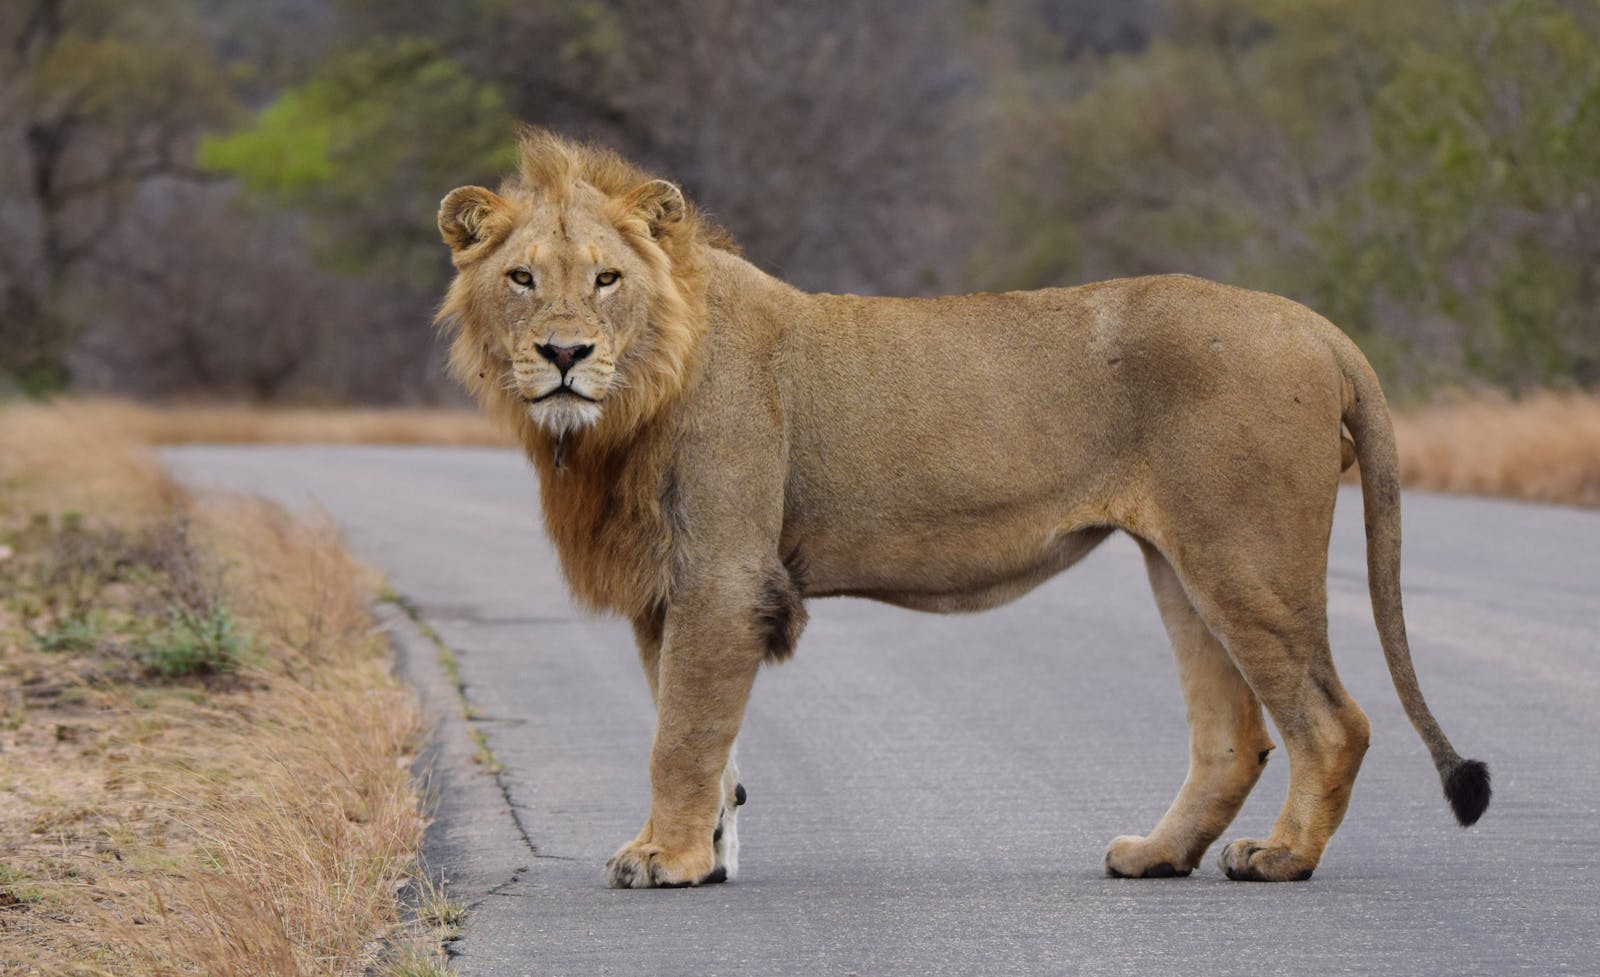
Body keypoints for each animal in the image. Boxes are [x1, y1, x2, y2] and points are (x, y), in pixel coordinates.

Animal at [435, 127, 1490, 888]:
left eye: (605, 278)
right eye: (522, 278)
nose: (563, 353)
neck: (621, 409)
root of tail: (1315, 325)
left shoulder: (723, 575)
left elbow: (681, 732)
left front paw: (670, 858)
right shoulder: (672, 583)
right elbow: (696, 730)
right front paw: (711, 847)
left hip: (1247, 556)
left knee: (1332, 721)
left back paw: (1281, 858)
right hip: (1182, 564)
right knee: (1235, 738)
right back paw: (1158, 854)